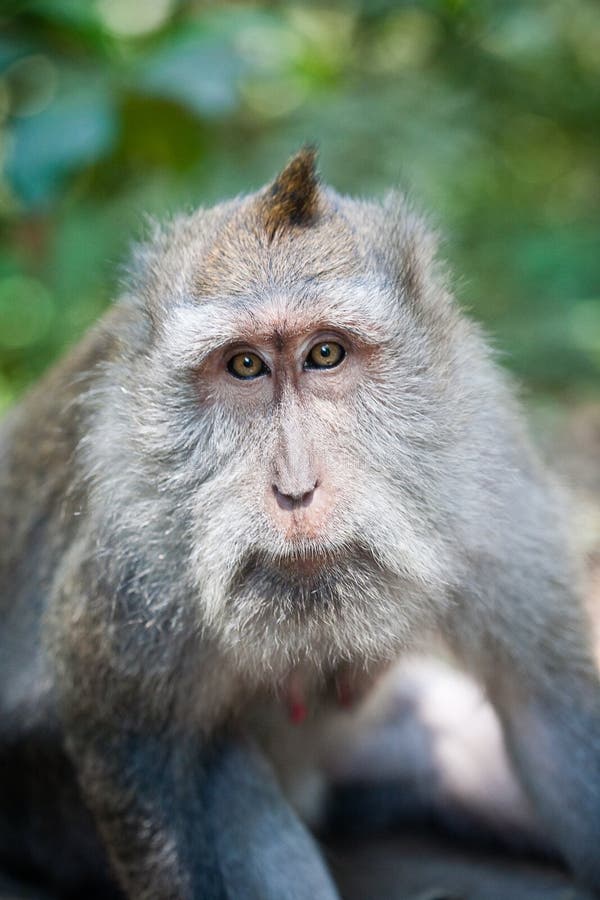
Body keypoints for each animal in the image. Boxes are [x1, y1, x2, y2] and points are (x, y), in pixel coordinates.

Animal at [1, 146, 600, 900]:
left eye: (325, 354)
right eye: (244, 365)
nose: (295, 488)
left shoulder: (489, 473)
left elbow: (547, 711)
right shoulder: (133, 550)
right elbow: (127, 737)